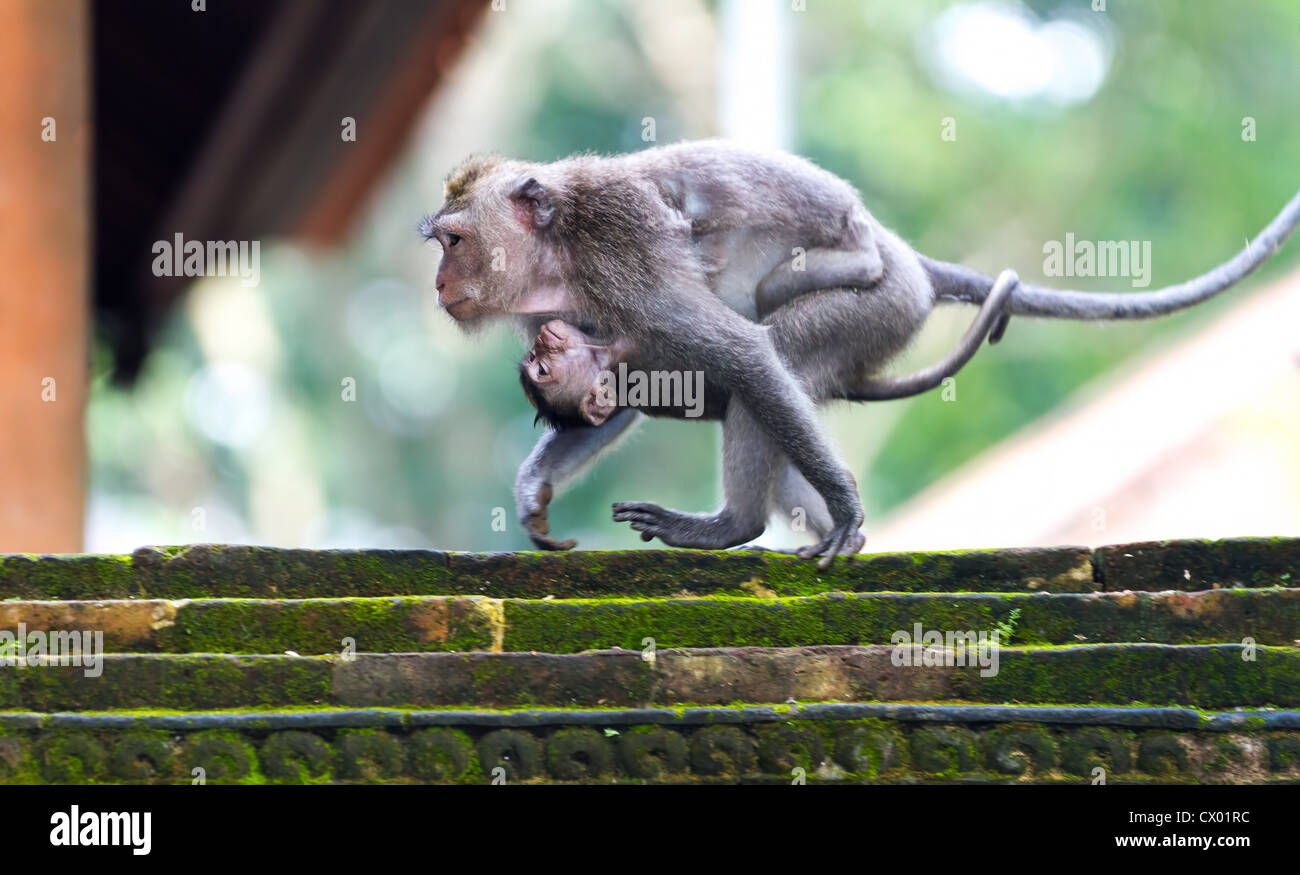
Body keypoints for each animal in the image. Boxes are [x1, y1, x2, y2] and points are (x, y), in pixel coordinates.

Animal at [517, 272, 1020, 549]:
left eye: (538, 363)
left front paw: (533, 491)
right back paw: (735, 527)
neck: (616, 354)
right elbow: (747, 365)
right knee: (759, 392)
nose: (537, 344)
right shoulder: (651, 347)